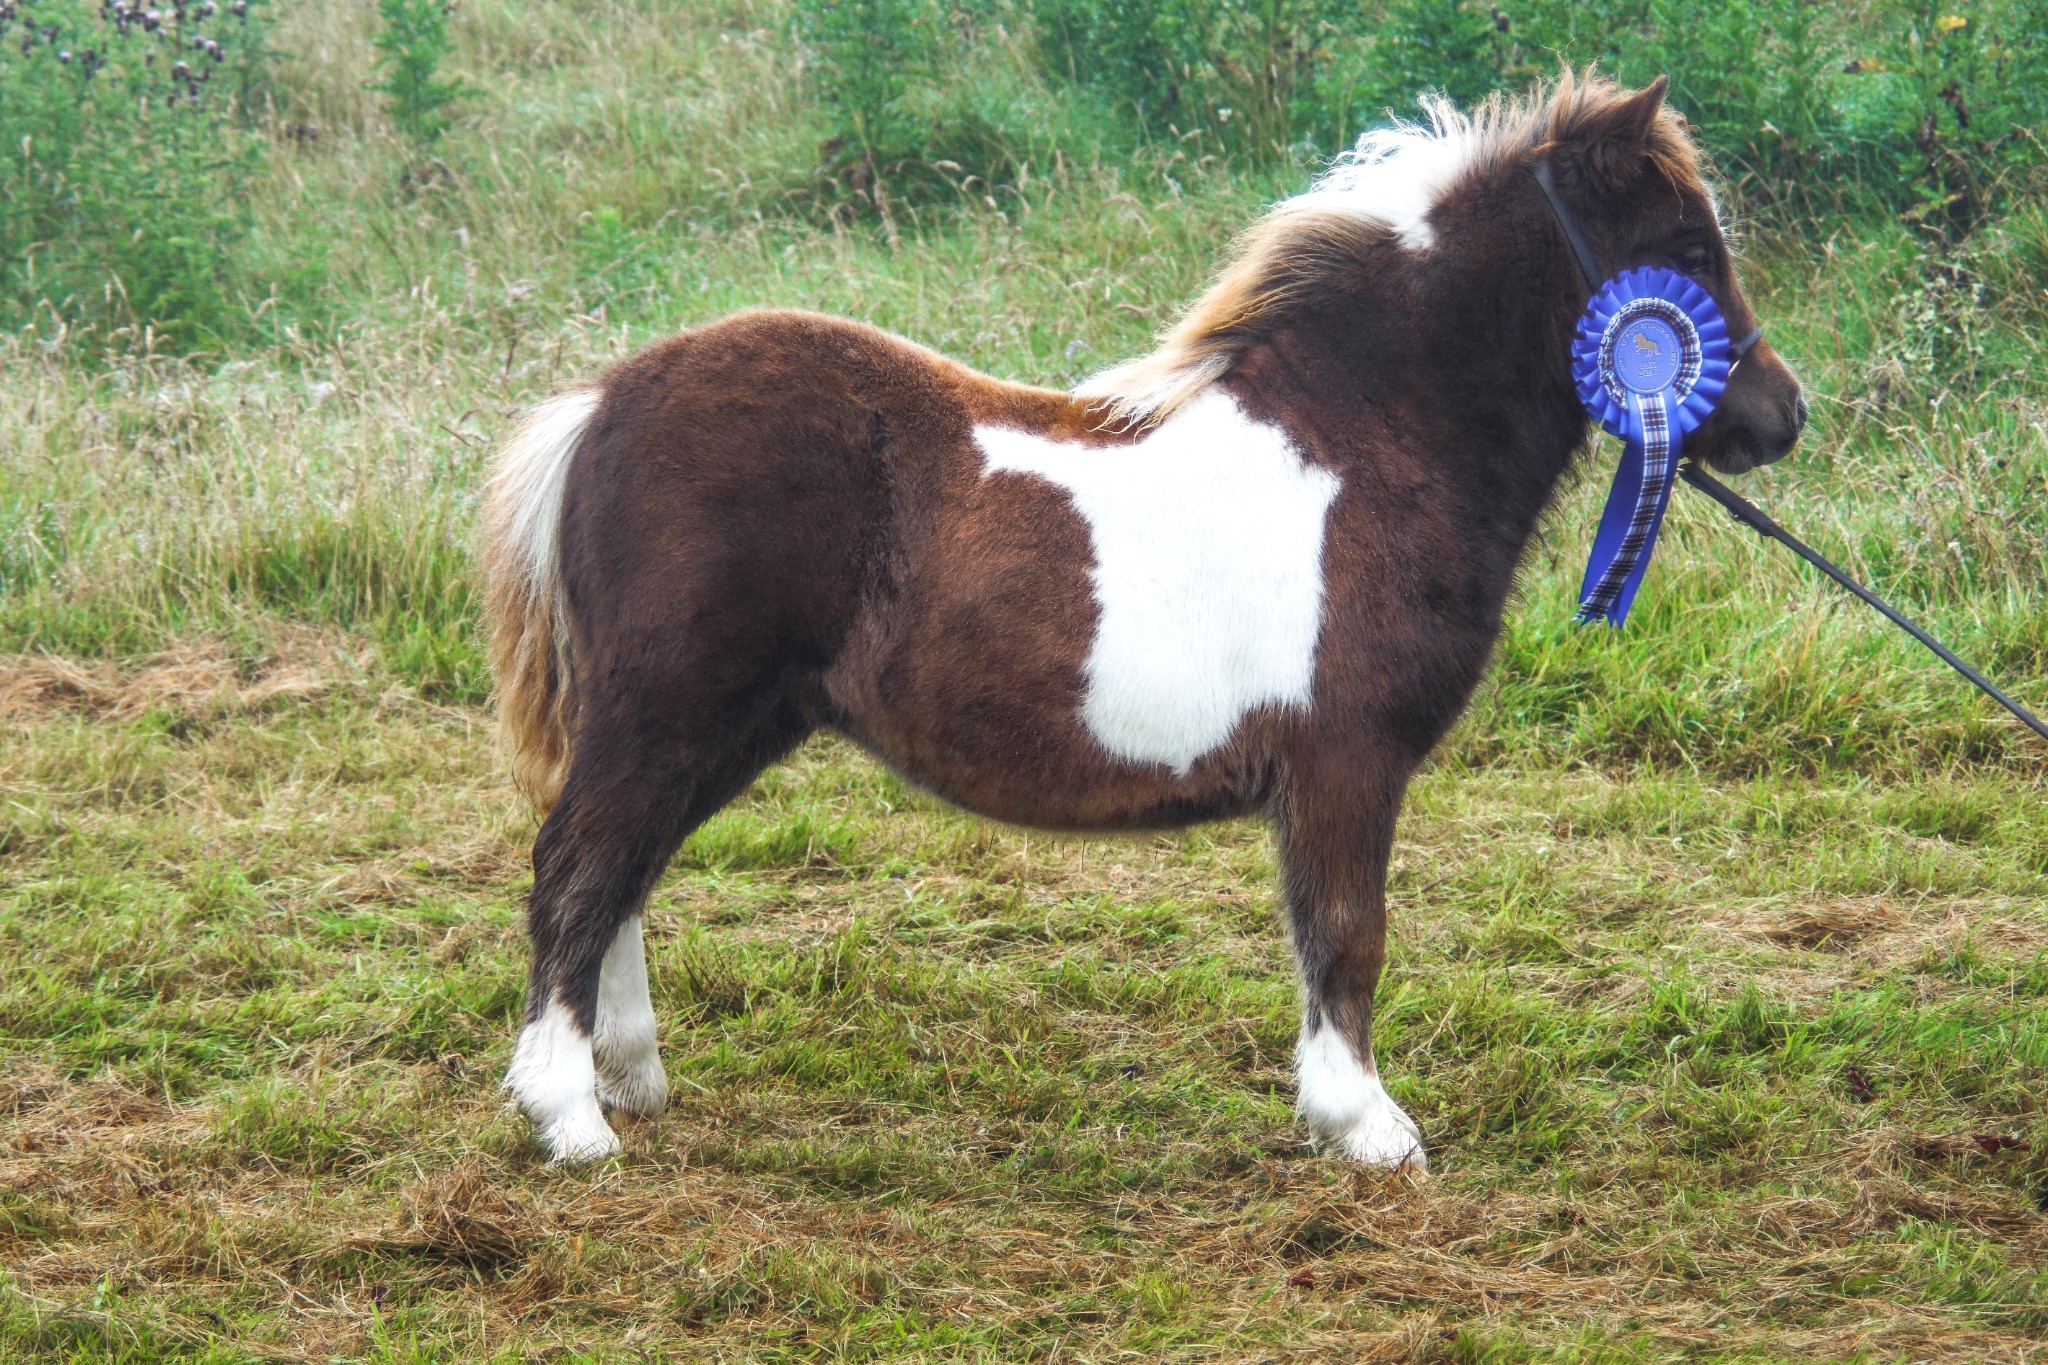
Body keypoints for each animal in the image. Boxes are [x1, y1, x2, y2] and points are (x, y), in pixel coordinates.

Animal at [479, 73, 1806, 1170]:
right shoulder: (1345, 762)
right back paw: (572, 1117)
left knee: (623, 873)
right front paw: (1366, 1128)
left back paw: (631, 1078)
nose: (1779, 417)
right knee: (575, 872)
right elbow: (1346, 935)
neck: (1359, 444)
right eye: (1684, 247)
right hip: (670, 714)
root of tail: (603, 400)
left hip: (724, 725)